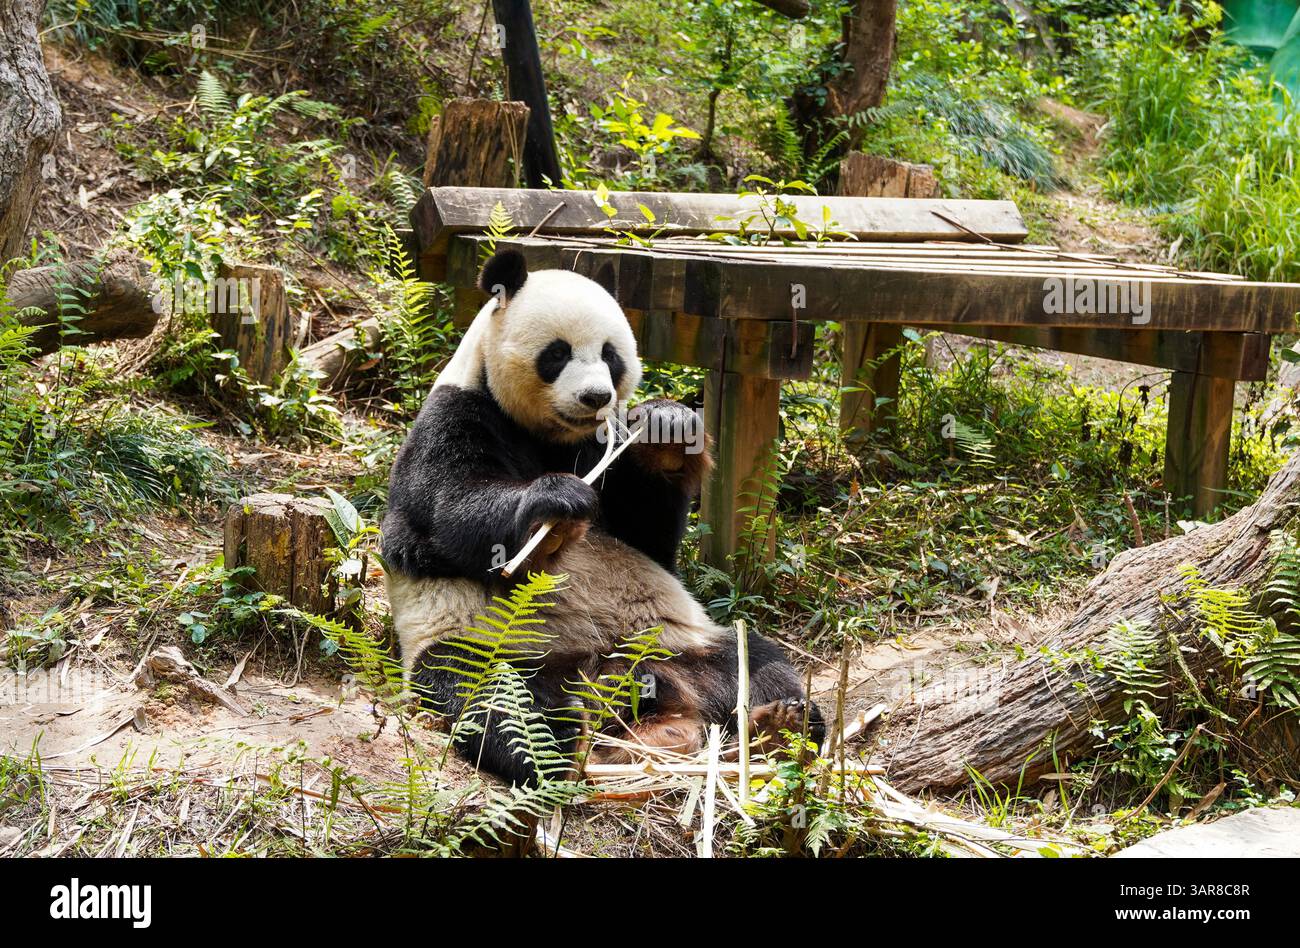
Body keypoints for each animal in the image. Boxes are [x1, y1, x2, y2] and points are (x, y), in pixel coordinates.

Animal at [381, 249, 823, 784]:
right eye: (558, 353)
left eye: (611, 356)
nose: (595, 396)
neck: (550, 435)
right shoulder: (456, 415)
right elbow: (446, 515)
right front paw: (554, 511)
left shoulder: (600, 446)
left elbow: (648, 537)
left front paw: (668, 429)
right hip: (484, 641)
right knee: (487, 694)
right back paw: (560, 741)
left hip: (679, 642)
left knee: (756, 663)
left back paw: (779, 724)